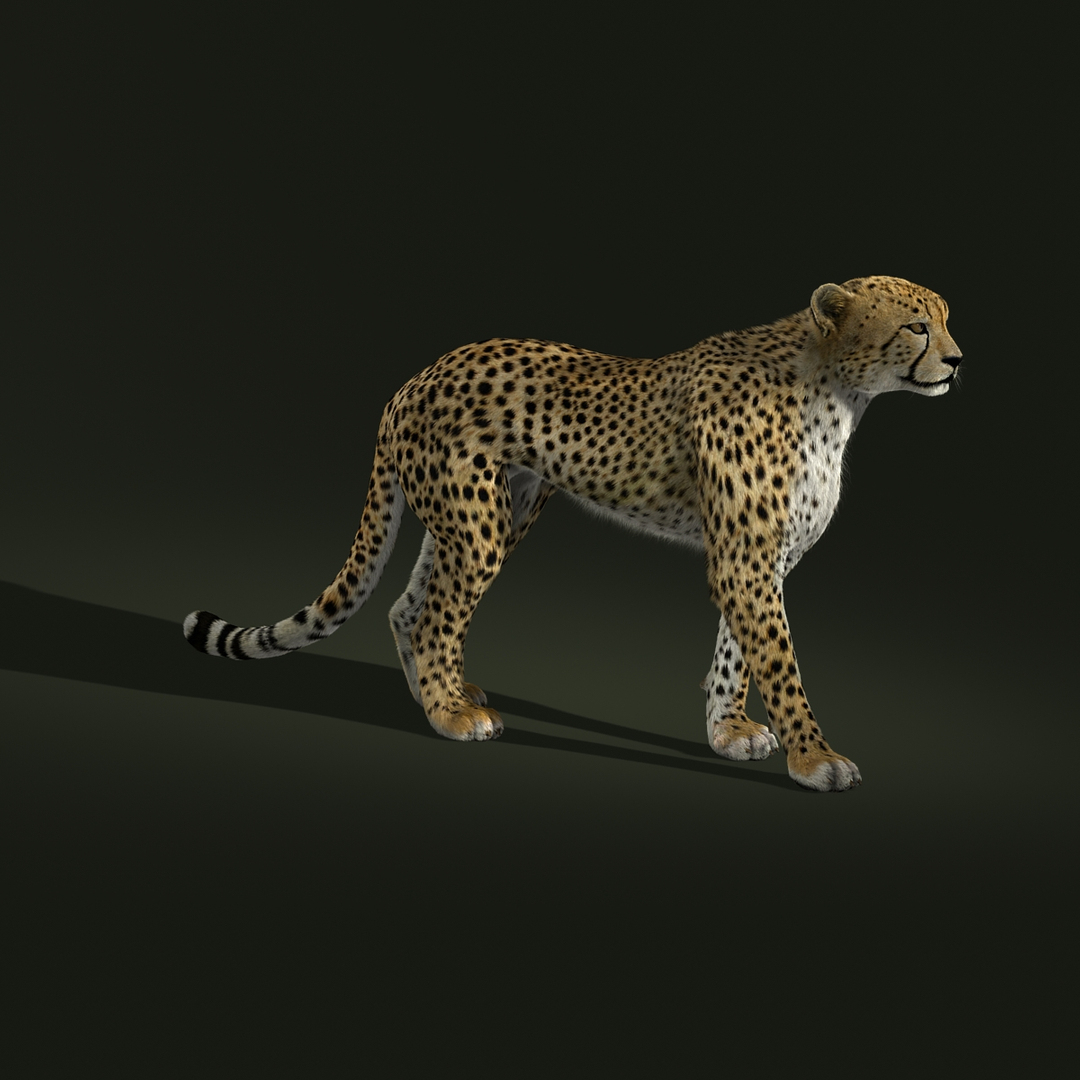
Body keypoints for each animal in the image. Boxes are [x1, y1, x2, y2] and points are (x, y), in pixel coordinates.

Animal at [183, 275, 962, 792]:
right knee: (433, 616)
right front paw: (815, 758)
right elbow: (778, 659)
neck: (838, 390)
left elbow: (736, 654)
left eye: (948, 319)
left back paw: (445, 695)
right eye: (915, 326)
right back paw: (451, 715)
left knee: (409, 606)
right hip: (476, 525)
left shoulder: (759, 560)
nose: (958, 360)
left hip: (490, 513)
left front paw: (729, 731)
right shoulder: (746, 558)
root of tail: (418, 374)